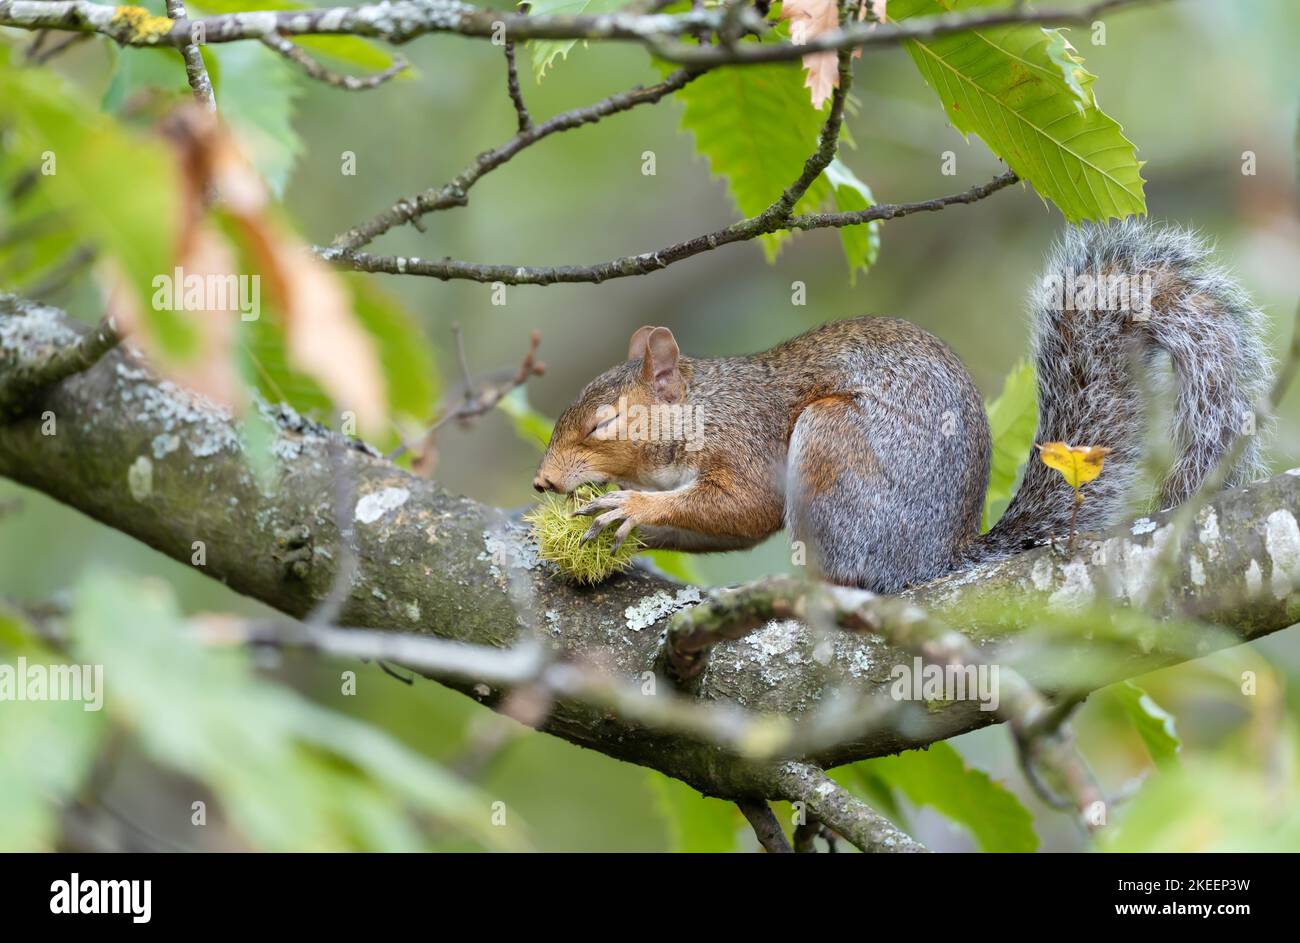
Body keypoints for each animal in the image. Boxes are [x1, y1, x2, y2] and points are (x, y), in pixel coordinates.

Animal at [534, 219, 1271, 593]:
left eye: (603, 422)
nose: (541, 482)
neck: (704, 406)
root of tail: (937, 558)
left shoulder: (746, 444)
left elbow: (742, 506)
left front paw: (632, 507)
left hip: (834, 441)